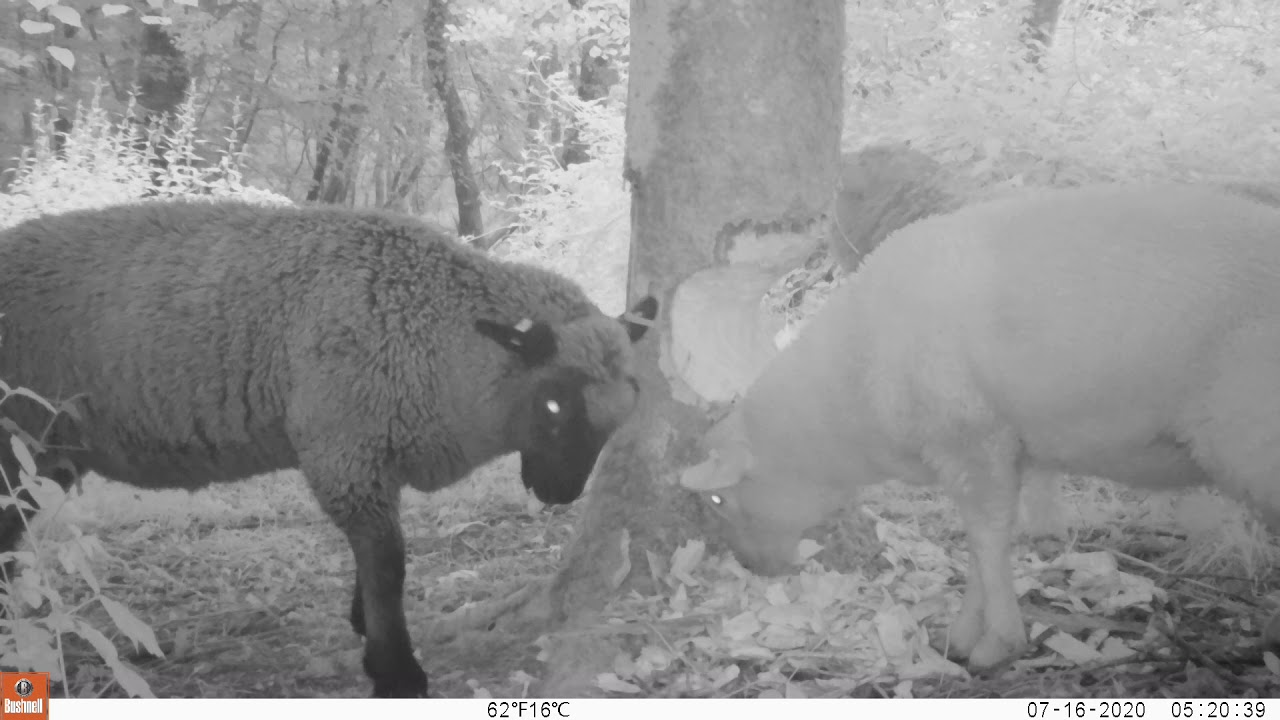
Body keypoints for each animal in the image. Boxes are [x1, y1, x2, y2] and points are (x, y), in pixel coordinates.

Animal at [0, 199, 658, 698]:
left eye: (621, 413)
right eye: (553, 405)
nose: (561, 494)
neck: (433, 331)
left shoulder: (371, 453)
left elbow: (379, 555)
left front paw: (365, 625)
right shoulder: (342, 447)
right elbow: (388, 560)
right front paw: (396, 671)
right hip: (16, 443)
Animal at [680, 183, 1280, 670]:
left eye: (718, 500)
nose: (754, 568)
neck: (850, 396)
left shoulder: (972, 438)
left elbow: (988, 539)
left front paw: (998, 643)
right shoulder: (987, 453)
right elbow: (979, 541)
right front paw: (967, 632)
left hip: (1252, 439)